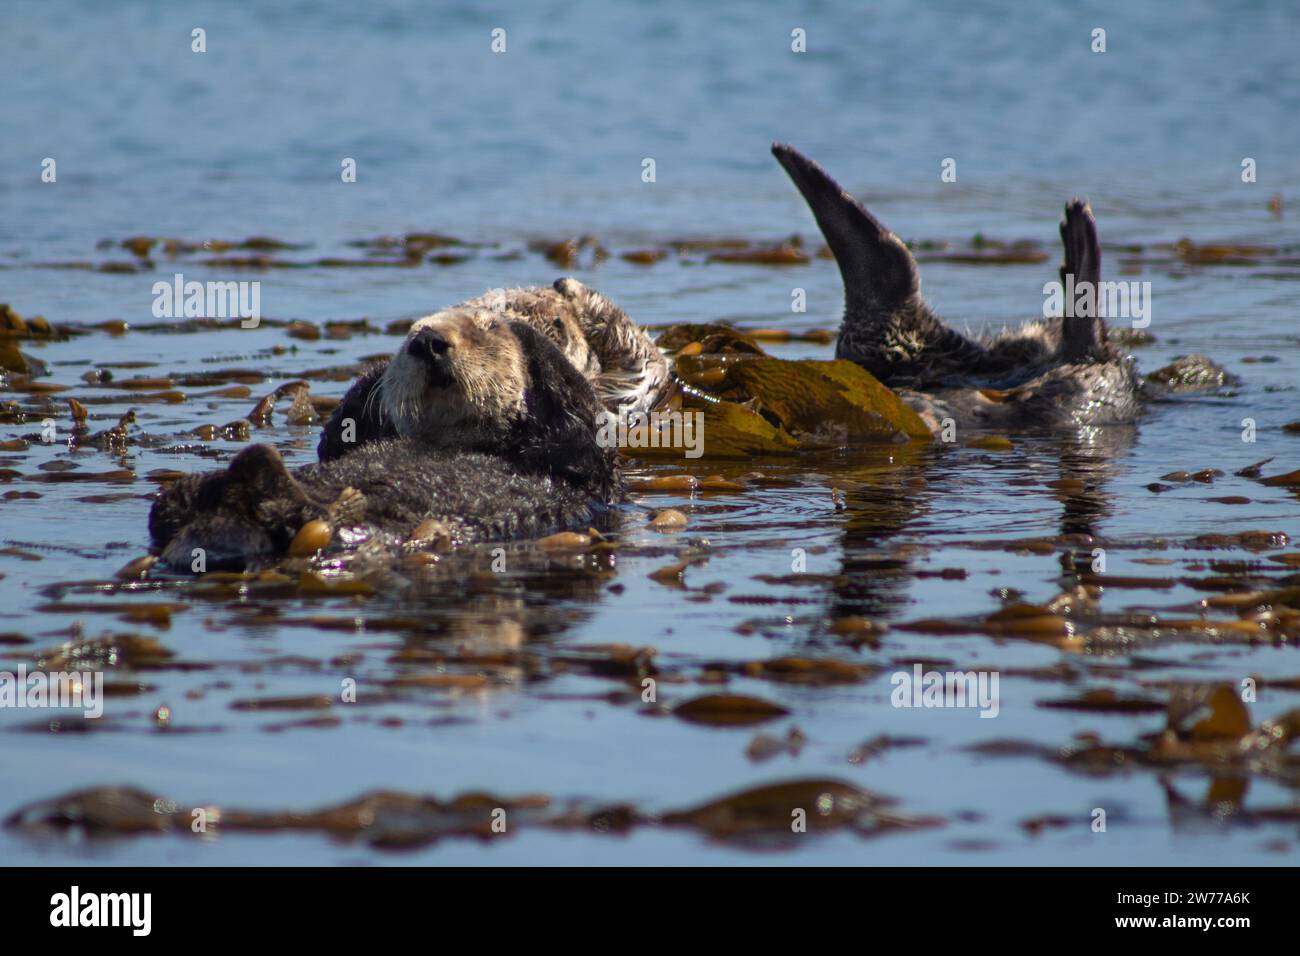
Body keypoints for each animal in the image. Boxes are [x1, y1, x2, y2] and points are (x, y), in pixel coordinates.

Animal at [149, 312, 621, 571]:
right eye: (411, 333)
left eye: (484, 331)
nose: (428, 341)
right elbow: (335, 439)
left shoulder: (578, 465)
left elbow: (581, 427)